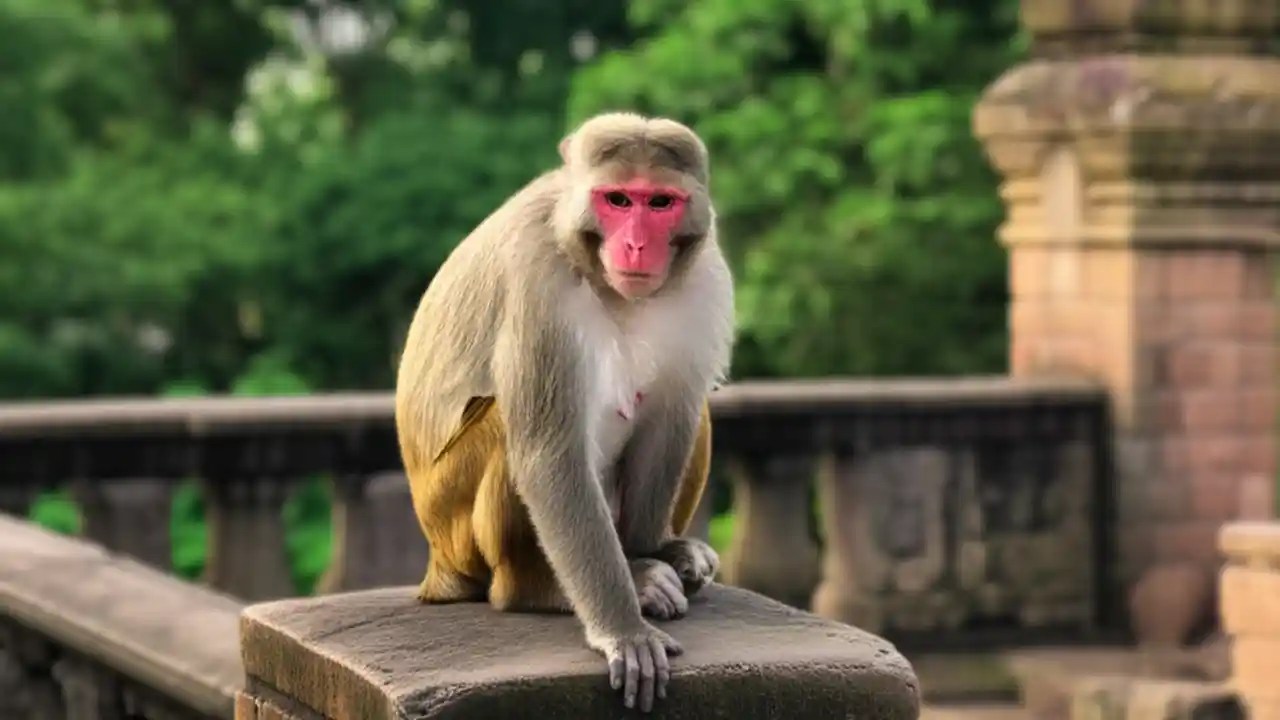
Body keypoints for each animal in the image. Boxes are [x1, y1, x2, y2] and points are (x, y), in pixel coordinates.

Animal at [394, 112, 734, 713]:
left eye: (660, 202)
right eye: (618, 200)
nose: (637, 245)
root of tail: (437, 564)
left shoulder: (705, 278)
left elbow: (671, 416)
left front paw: (651, 554)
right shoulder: (538, 277)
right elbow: (550, 458)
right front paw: (624, 628)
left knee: (691, 410)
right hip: (453, 522)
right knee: (511, 427)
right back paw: (539, 588)